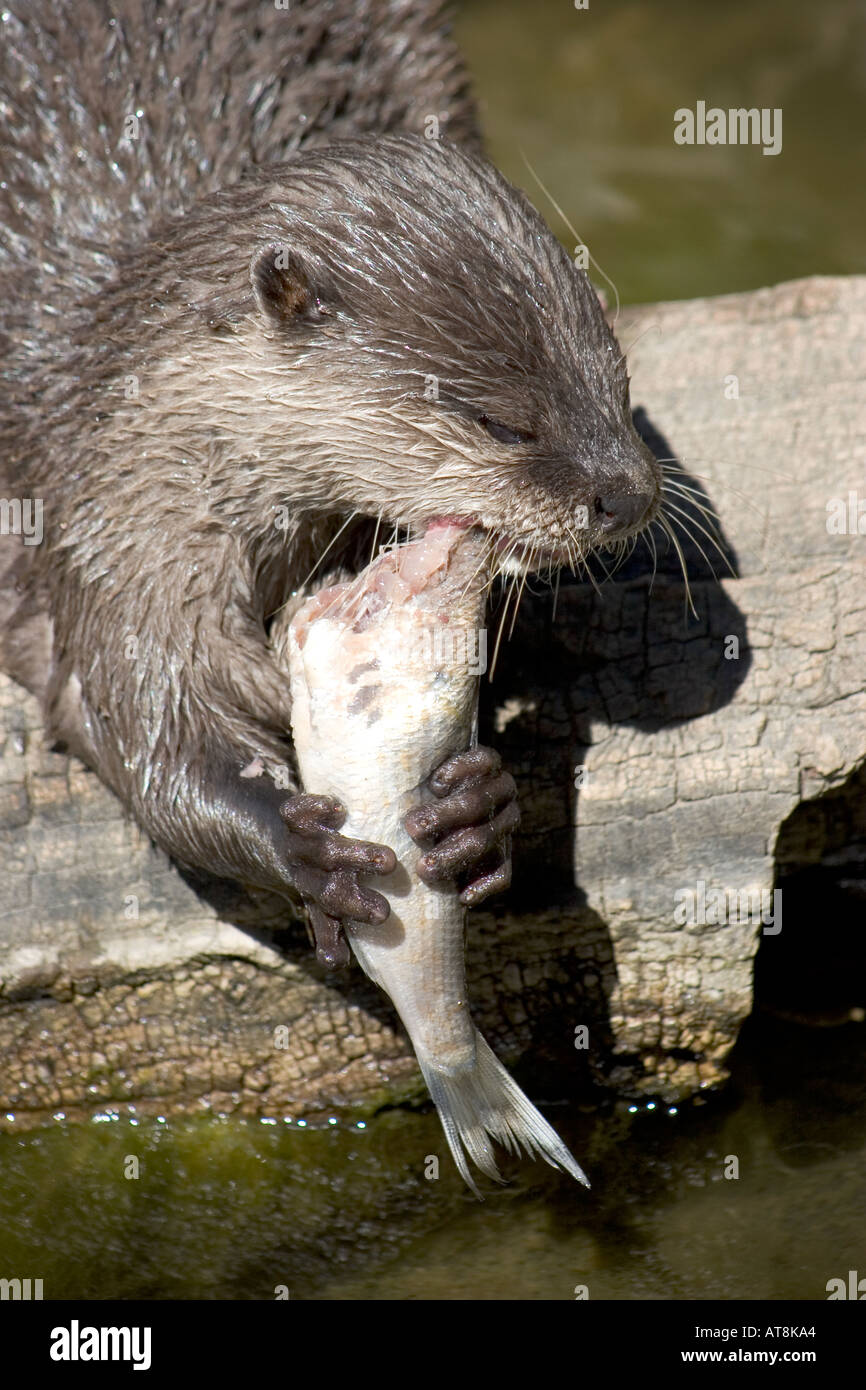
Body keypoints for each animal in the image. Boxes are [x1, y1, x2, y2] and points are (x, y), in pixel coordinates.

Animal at [0, 0, 661, 969]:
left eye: (616, 373)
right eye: (501, 423)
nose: (631, 493)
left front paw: (480, 804)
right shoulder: (115, 530)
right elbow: (149, 732)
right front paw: (298, 844)